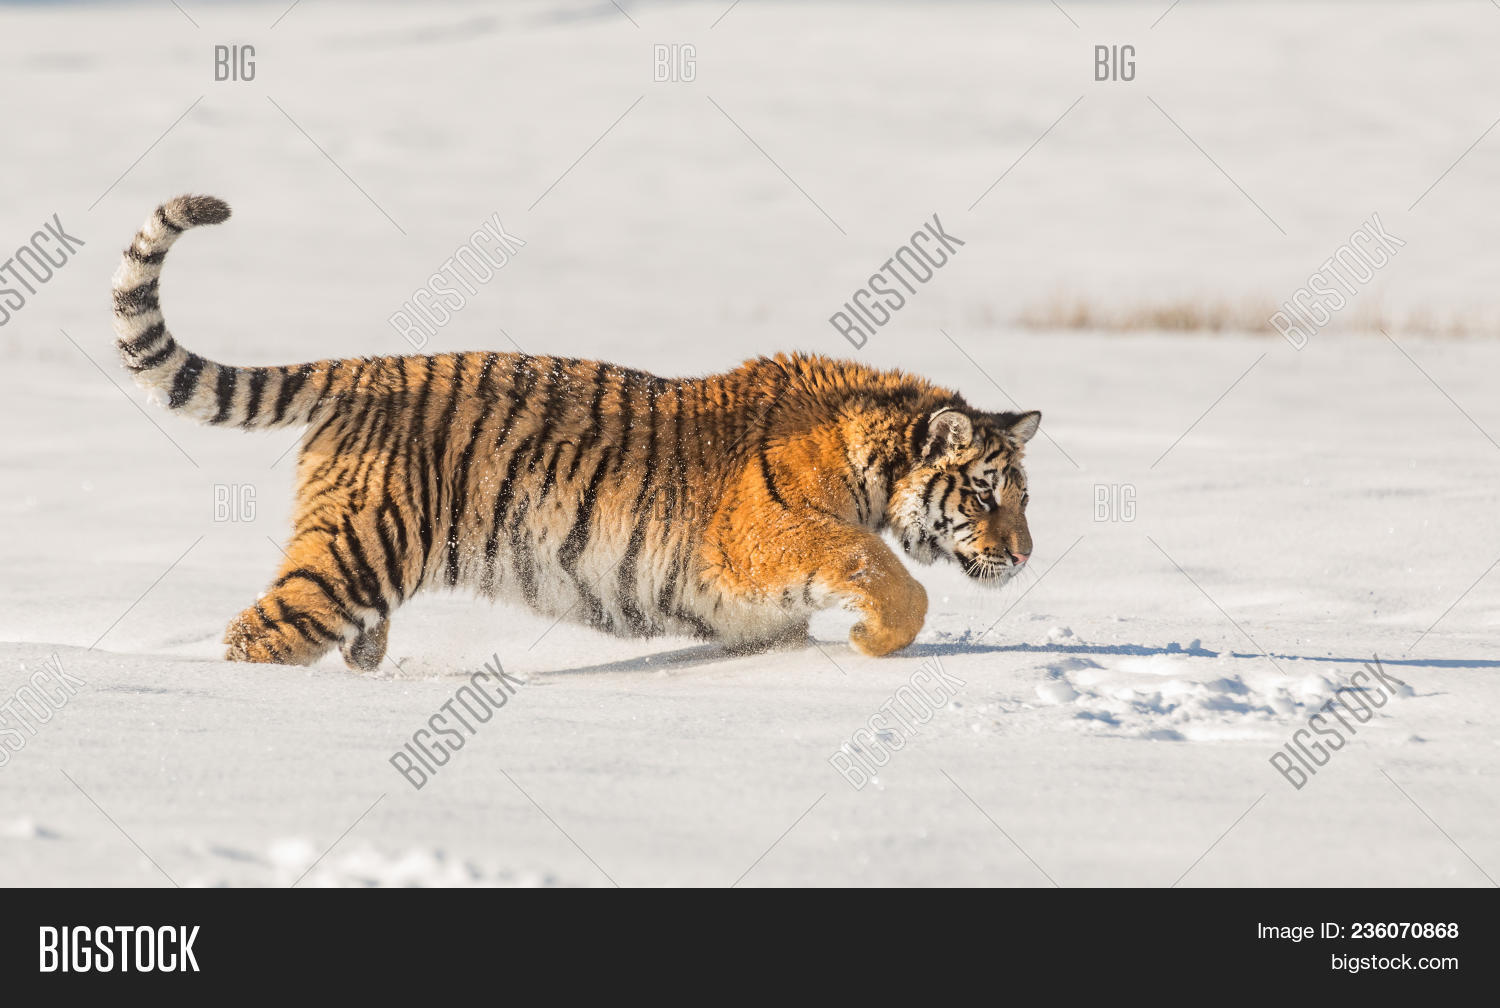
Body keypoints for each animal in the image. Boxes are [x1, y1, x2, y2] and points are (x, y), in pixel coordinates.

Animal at [110, 195, 1042, 671]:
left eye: (1024, 498)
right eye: (986, 494)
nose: (1026, 554)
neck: (872, 460)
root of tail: (372, 369)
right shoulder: (768, 536)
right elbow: (884, 571)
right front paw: (872, 641)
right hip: (359, 551)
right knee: (257, 635)